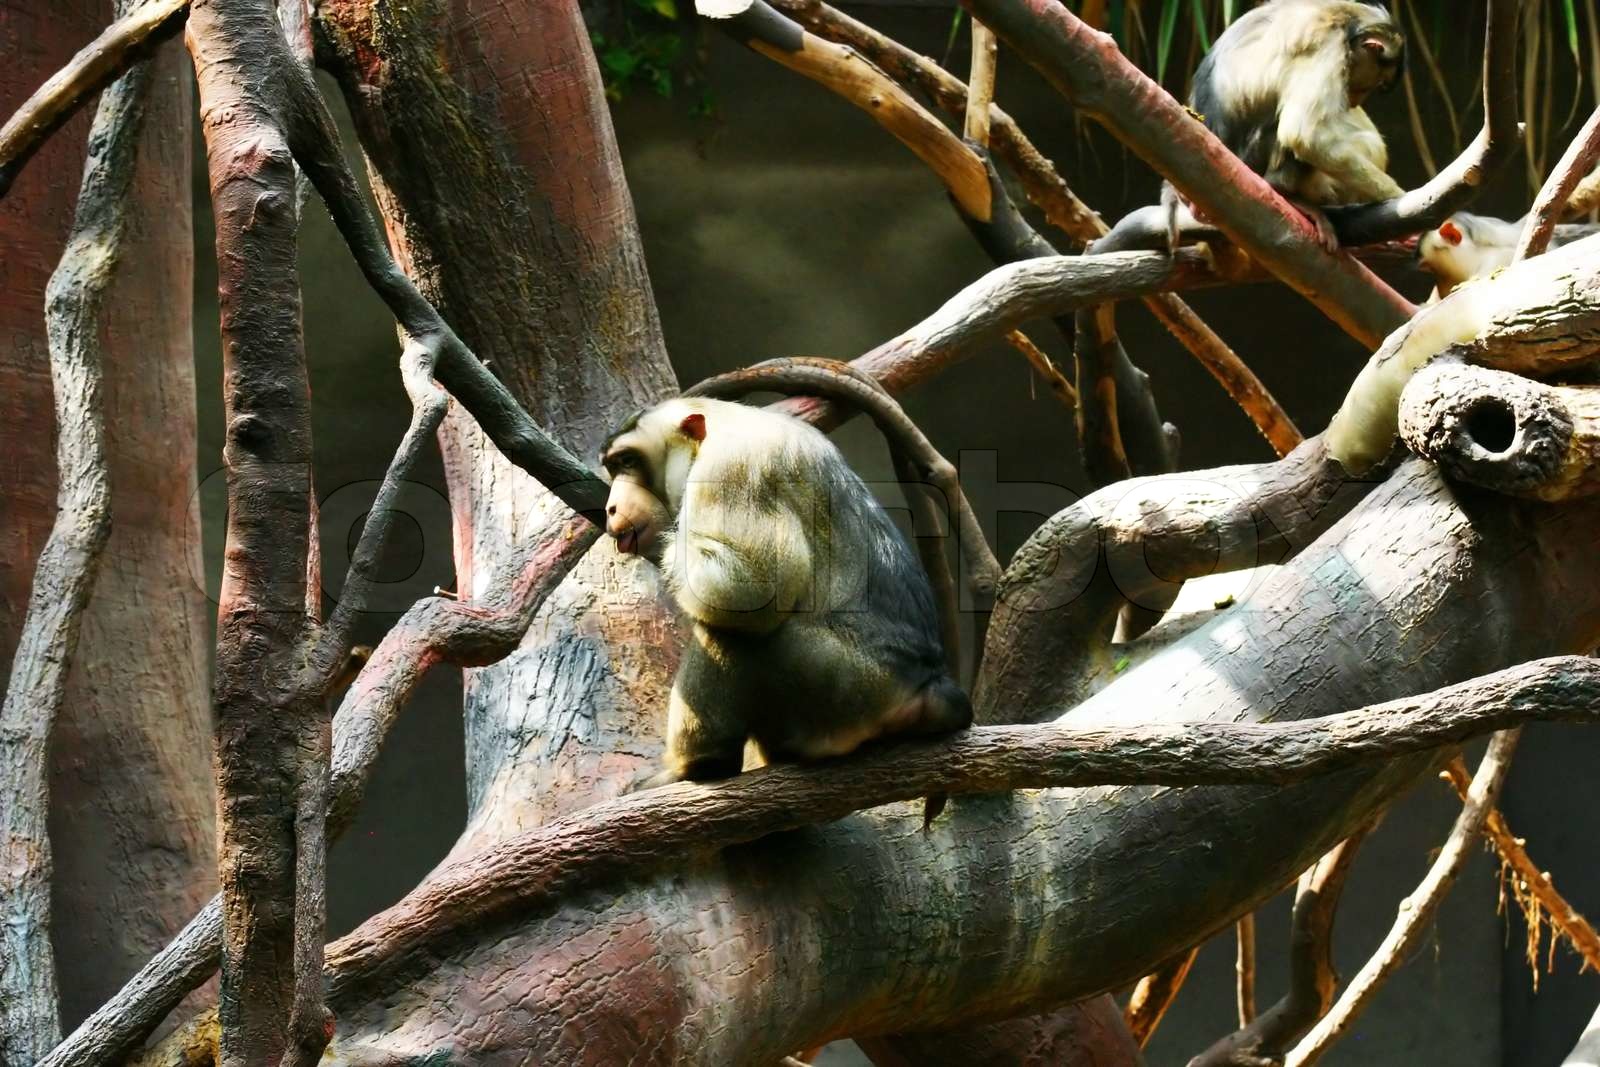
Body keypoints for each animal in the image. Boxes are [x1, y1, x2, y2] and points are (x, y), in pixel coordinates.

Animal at [600, 397, 972, 788]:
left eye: (628, 461)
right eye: (614, 466)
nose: (611, 507)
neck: (720, 421)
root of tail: (926, 684)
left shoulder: (730, 469)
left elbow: (748, 590)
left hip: (846, 688)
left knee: (735, 634)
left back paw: (697, 764)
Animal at [1161, 0, 1405, 252]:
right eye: (1373, 84)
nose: (1357, 99)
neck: (1346, 21)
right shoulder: (1327, 45)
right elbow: (1303, 135)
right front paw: (1397, 195)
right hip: (1250, 160)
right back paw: (1283, 191)